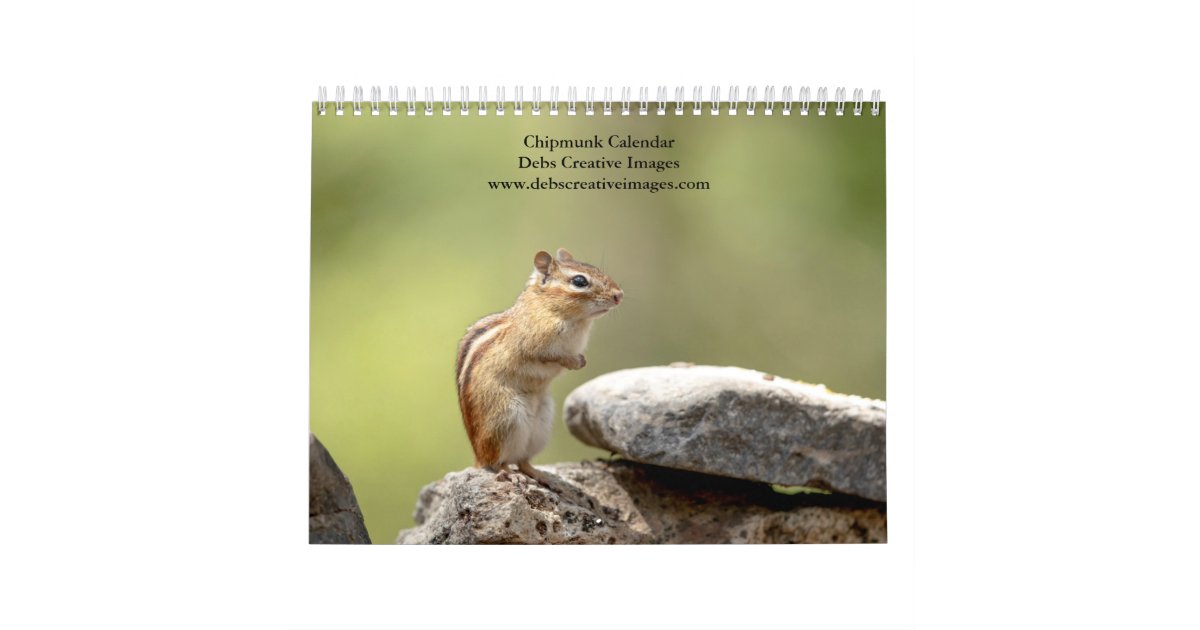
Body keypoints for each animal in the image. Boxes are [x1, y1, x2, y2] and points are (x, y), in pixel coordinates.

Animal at [454, 248, 623, 486]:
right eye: (579, 281)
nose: (619, 295)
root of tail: (478, 456)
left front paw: (581, 361)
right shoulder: (534, 345)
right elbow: (550, 357)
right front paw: (573, 362)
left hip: (540, 427)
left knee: (523, 460)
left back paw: (541, 475)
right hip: (505, 419)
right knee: (497, 462)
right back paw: (509, 473)